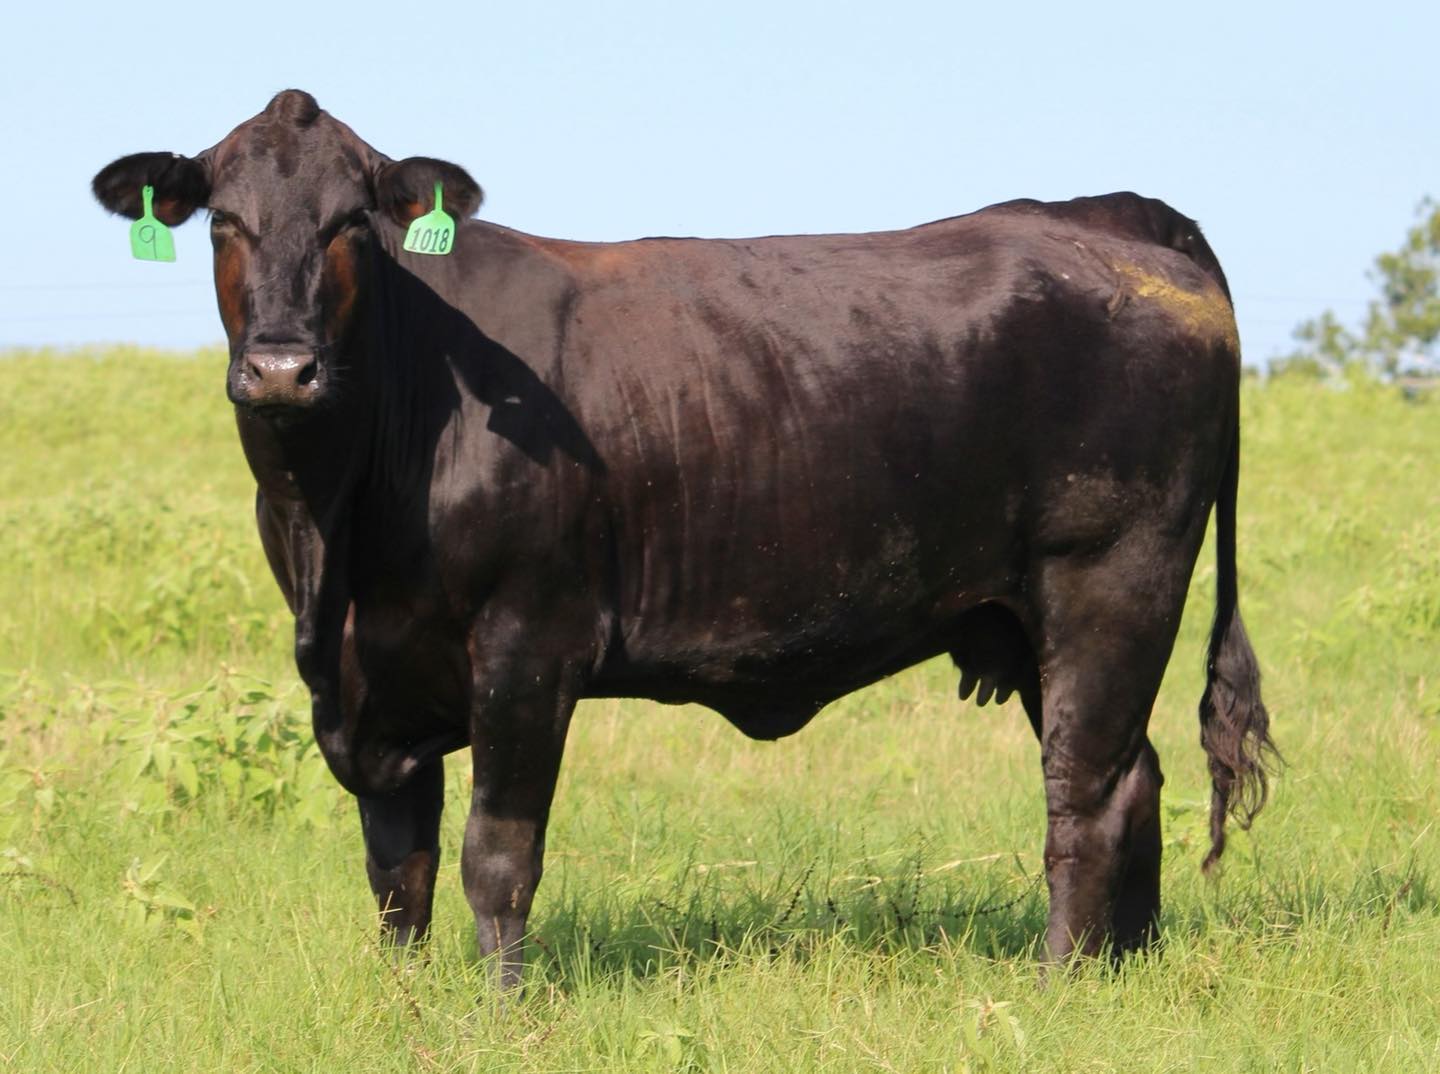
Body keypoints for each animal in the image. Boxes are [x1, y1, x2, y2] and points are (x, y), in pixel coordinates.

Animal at [93, 89, 1275, 989]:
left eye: (351, 223)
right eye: (220, 222)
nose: (281, 367)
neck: (335, 525)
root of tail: (1114, 215)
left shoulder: (528, 642)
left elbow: (494, 856)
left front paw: (502, 1012)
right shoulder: (365, 682)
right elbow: (400, 874)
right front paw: (405, 1004)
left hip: (1108, 580)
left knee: (1088, 791)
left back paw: (1061, 982)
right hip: (1024, 617)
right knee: (1137, 777)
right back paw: (1127, 968)